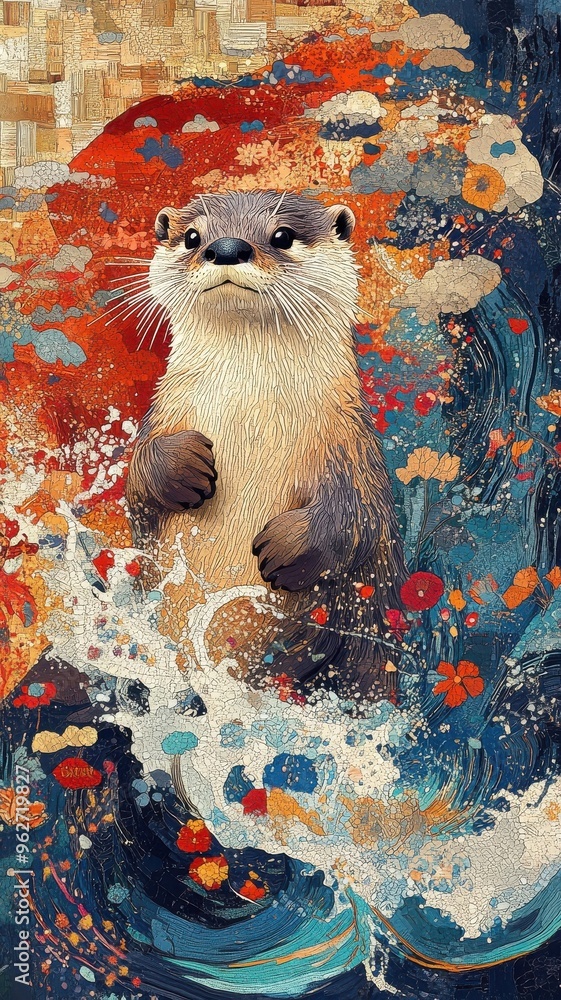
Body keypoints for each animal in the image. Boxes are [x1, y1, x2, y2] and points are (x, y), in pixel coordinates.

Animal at [126, 190, 406, 700]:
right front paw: (183, 468)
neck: (249, 417)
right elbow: (136, 480)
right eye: (192, 236)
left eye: (282, 236)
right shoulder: (161, 419)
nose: (226, 247)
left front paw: (286, 550)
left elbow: (357, 516)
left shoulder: (353, 449)